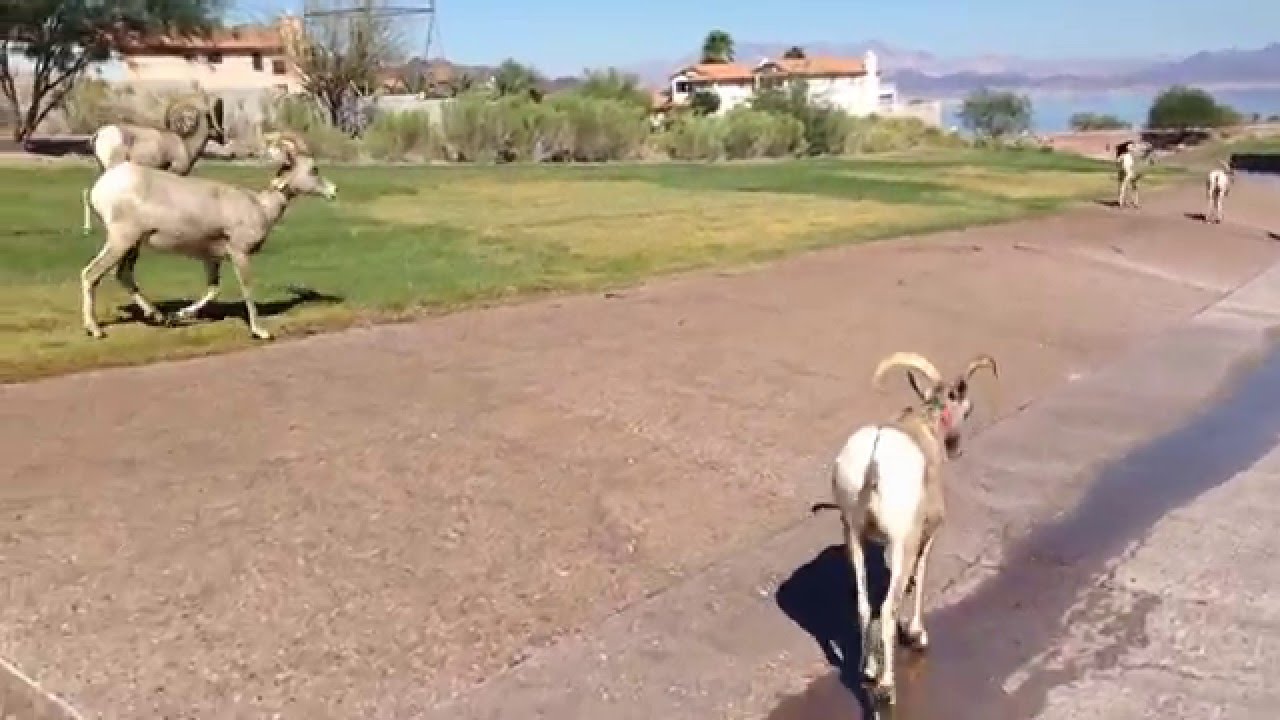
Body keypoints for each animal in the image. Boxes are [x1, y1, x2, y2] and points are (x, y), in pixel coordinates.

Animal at [80, 132, 336, 341]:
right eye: (314, 169)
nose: (333, 191)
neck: (260, 206)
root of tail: (101, 186)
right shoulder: (240, 253)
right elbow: (247, 289)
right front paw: (261, 332)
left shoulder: (211, 258)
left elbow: (213, 289)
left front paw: (181, 314)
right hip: (121, 241)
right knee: (91, 274)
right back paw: (95, 330)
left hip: (132, 245)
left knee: (123, 275)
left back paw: (160, 316)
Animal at [818, 351, 998, 705]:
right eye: (968, 408)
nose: (956, 448)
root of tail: (873, 462)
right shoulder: (923, 536)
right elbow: (921, 574)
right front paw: (917, 635)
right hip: (902, 542)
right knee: (887, 607)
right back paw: (886, 686)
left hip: (854, 536)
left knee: (865, 605)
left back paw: (868, 671)